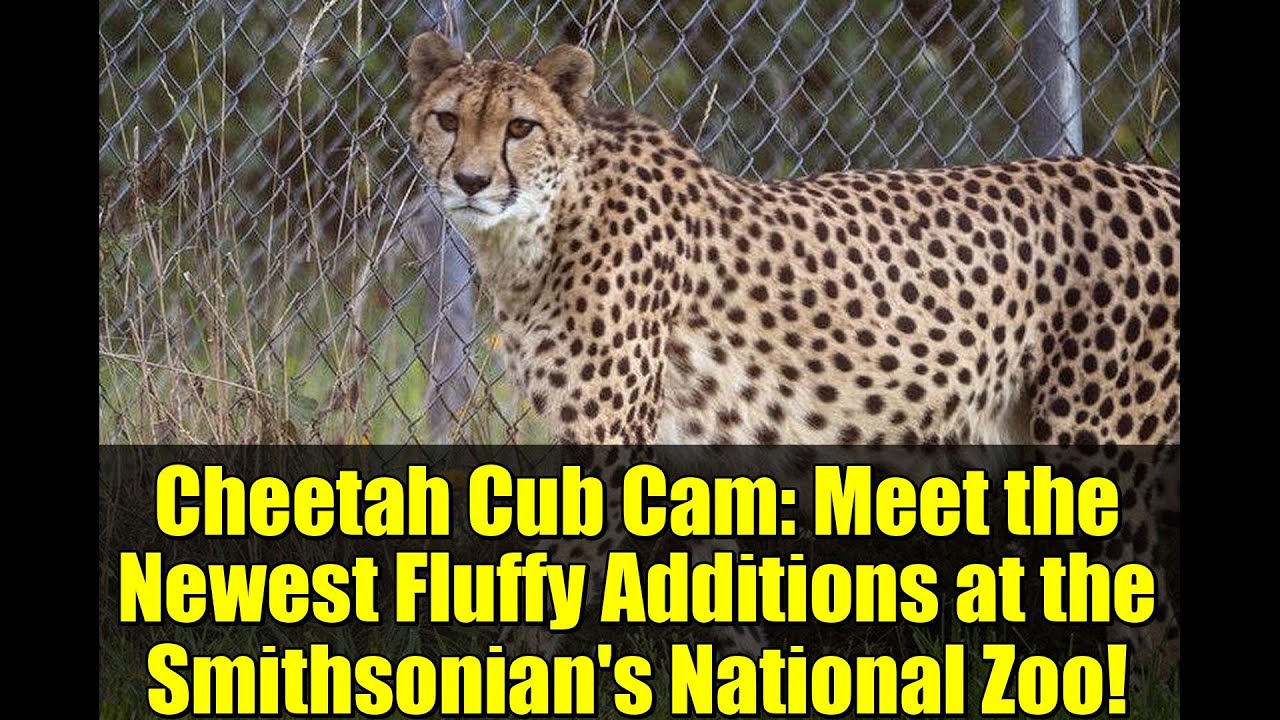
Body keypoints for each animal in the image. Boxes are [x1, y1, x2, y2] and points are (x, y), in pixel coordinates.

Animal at [404, 32, 1181, 670]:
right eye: (448, 120)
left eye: (520, 127)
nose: (470, 181)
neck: (540, 225)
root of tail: (1152, 175)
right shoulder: (698, 457)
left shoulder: (608, 446)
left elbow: (545, 592)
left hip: (1096, 449)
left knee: (1152, 624)